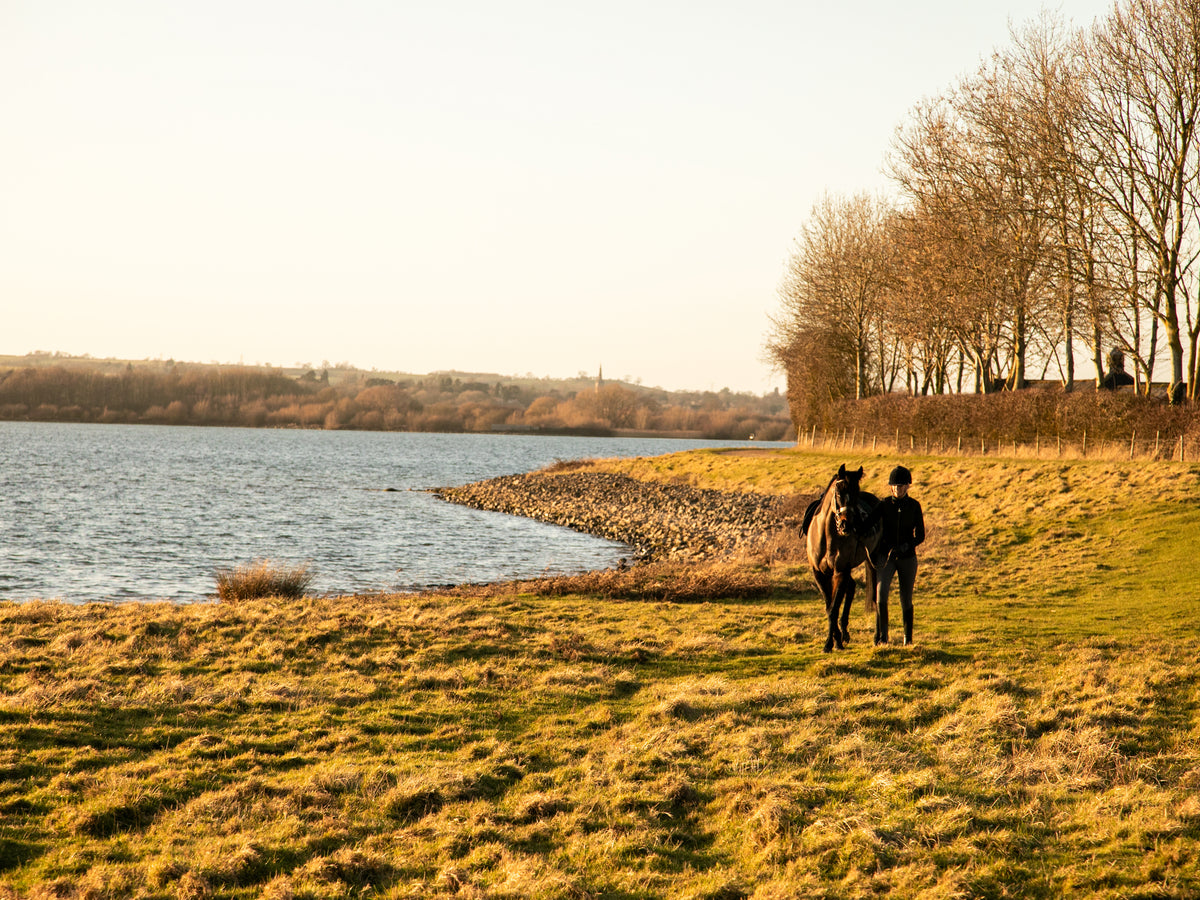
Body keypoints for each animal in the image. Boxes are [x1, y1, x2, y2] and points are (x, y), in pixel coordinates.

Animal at [803, 464, 882, 652]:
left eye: (856, 492)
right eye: (838, 492)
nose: (847, 524)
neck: (826, 537)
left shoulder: (840, 571)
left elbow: (834, 608)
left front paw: (830, 643)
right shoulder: (819, 574)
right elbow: (829, 606)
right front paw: (836, 639)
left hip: (872, 561)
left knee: (875, 597)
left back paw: (877, 637)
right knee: (851, 587)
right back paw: (845, 632)